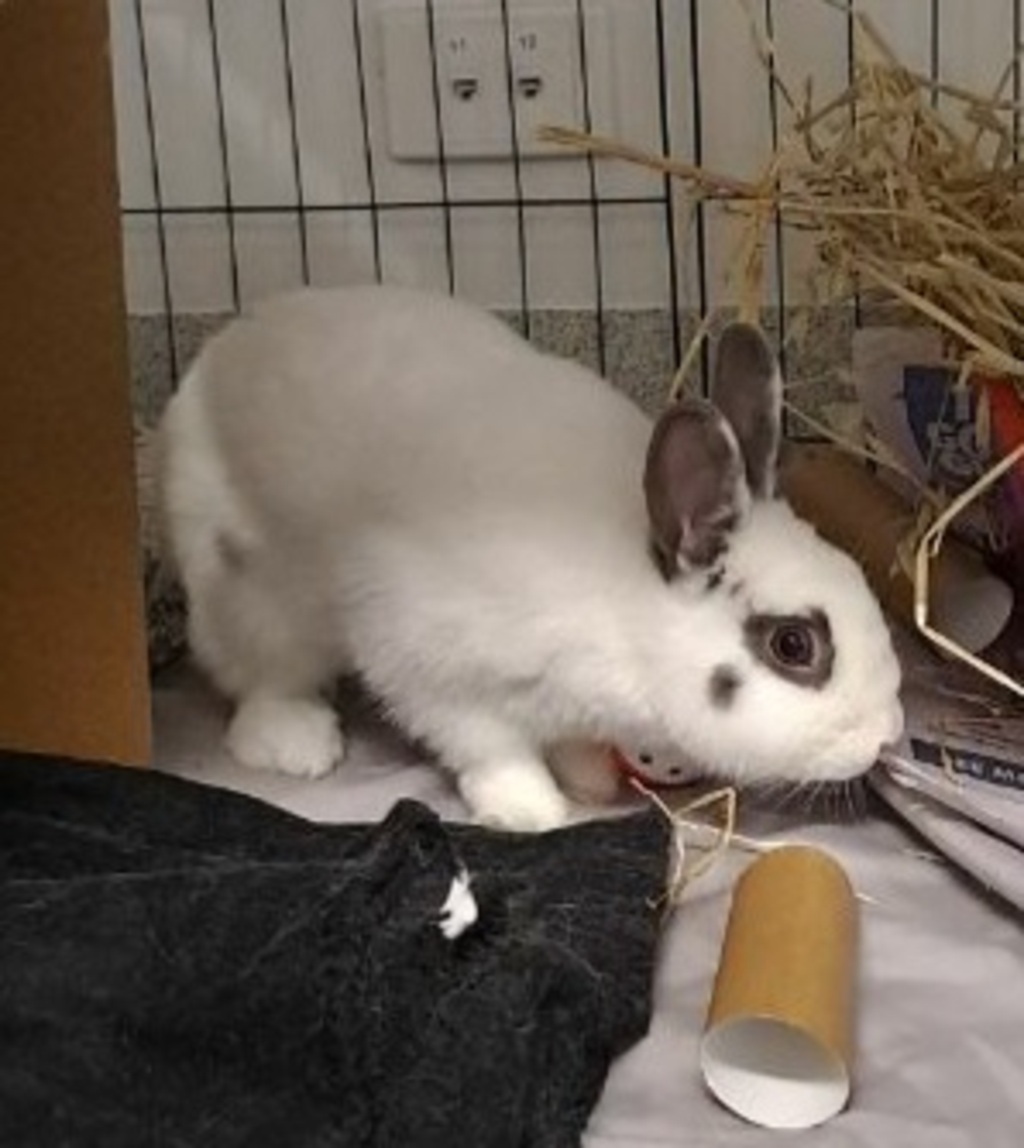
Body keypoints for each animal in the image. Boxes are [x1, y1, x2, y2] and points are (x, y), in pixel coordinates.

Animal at [159, 285, 904, 831]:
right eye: (793, 645)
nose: (885, 736)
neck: (630, 618)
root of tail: (209, 363)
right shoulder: (428, 664)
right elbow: (486, 743)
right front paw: (532, 808)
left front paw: (589, 779)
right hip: (254, 596)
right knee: (258, 677)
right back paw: (298, 745)